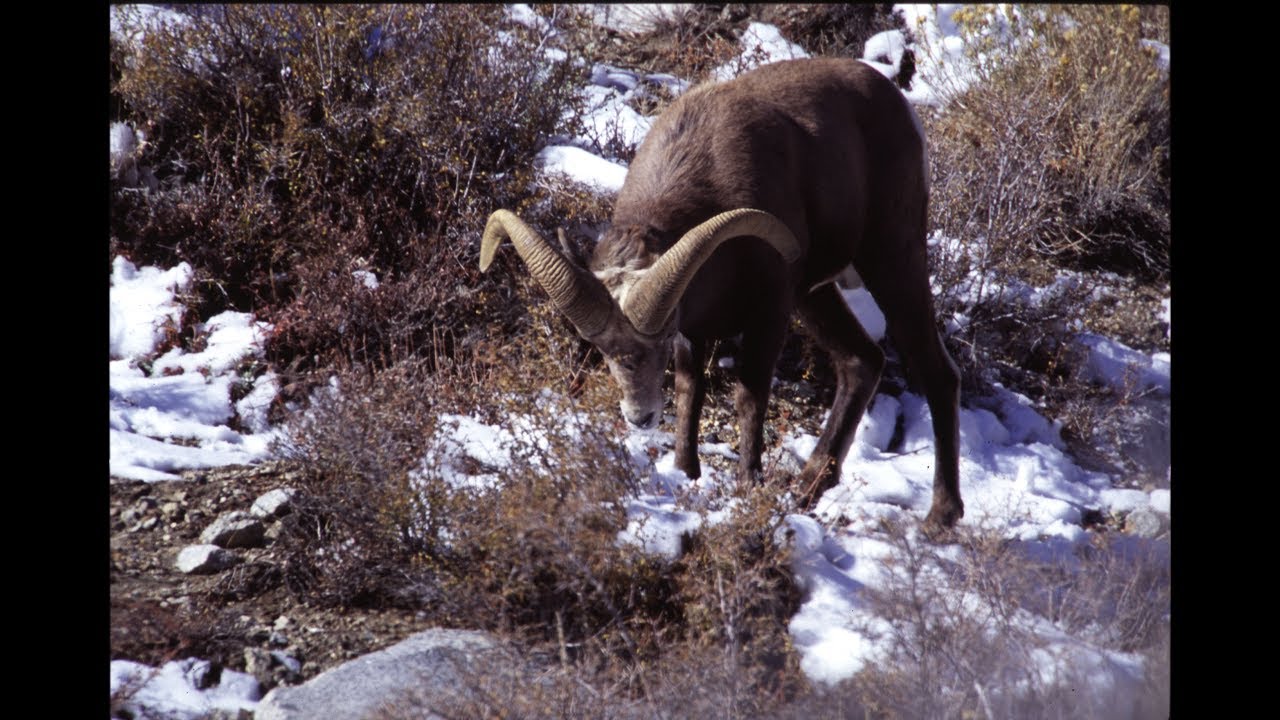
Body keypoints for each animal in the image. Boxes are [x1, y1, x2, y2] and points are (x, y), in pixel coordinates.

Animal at [481, 57, 964, 530]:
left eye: (657, 340)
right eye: (598, 347)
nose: (640, 417)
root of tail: (895, 101)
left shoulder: (768, 314)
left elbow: (748, 395)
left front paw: (748, 485)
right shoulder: (696, 332)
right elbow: (689, 392)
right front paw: (686, 472)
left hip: (889, 259)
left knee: (936, 371)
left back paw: (940, 516)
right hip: (816, 296)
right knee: (861, 362)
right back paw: (807, 489)